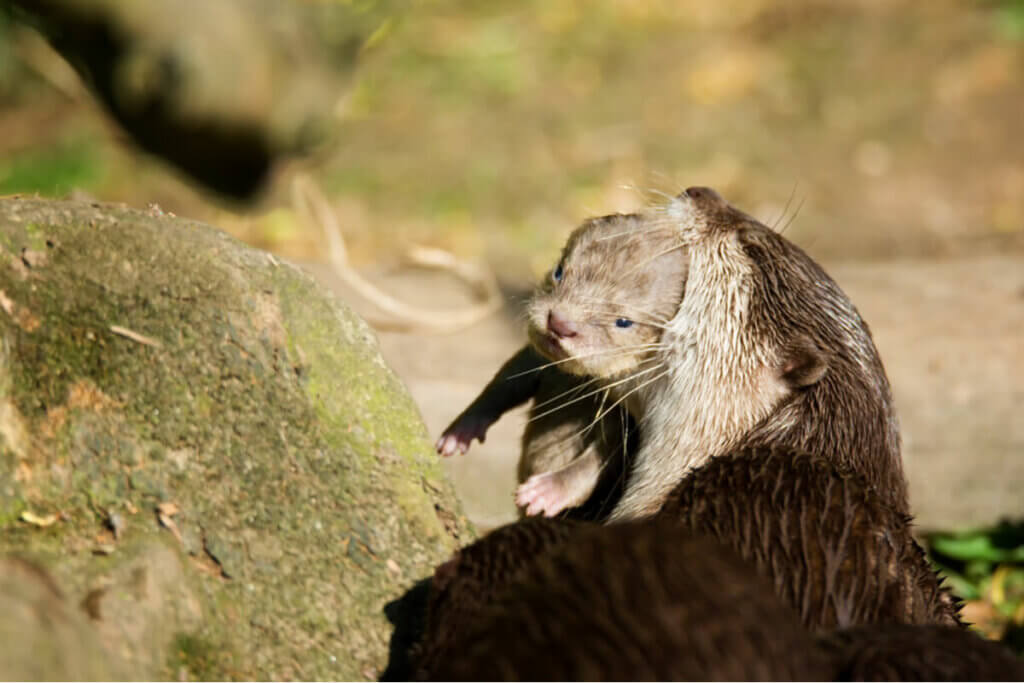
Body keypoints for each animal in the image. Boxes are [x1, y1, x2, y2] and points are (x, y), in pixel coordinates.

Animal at [437, 212, 688, 518]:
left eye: (623, 322)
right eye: (559, 272)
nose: (560, 323)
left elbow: (599, 463)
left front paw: (549, 490)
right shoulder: (538, 361)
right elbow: (506, 381)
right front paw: (463, 429)